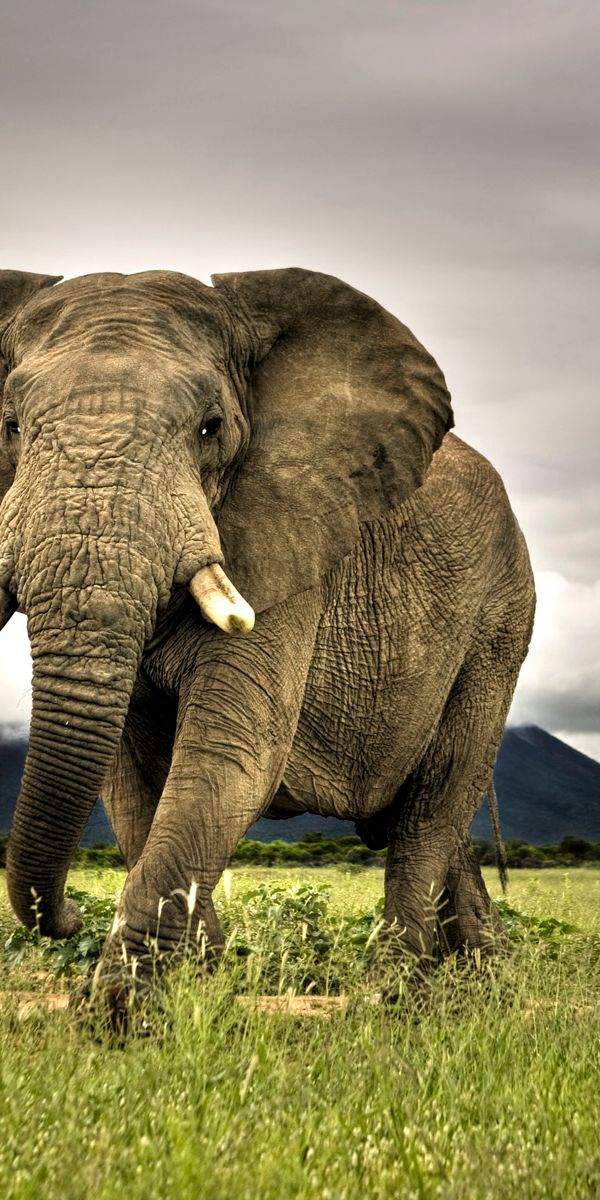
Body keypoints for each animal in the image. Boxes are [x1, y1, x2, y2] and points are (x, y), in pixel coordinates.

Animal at [0, 267, 535, 1007]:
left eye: (211, 427)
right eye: (10, 426)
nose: (71, 914)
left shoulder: (291, 544)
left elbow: (230, 755)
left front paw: (122, 1016)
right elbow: (130, 783)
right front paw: (200, 990)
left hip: (500, 620)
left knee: (437, 801)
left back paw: (392, 1001)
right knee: (433, 820)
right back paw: (481, 984)